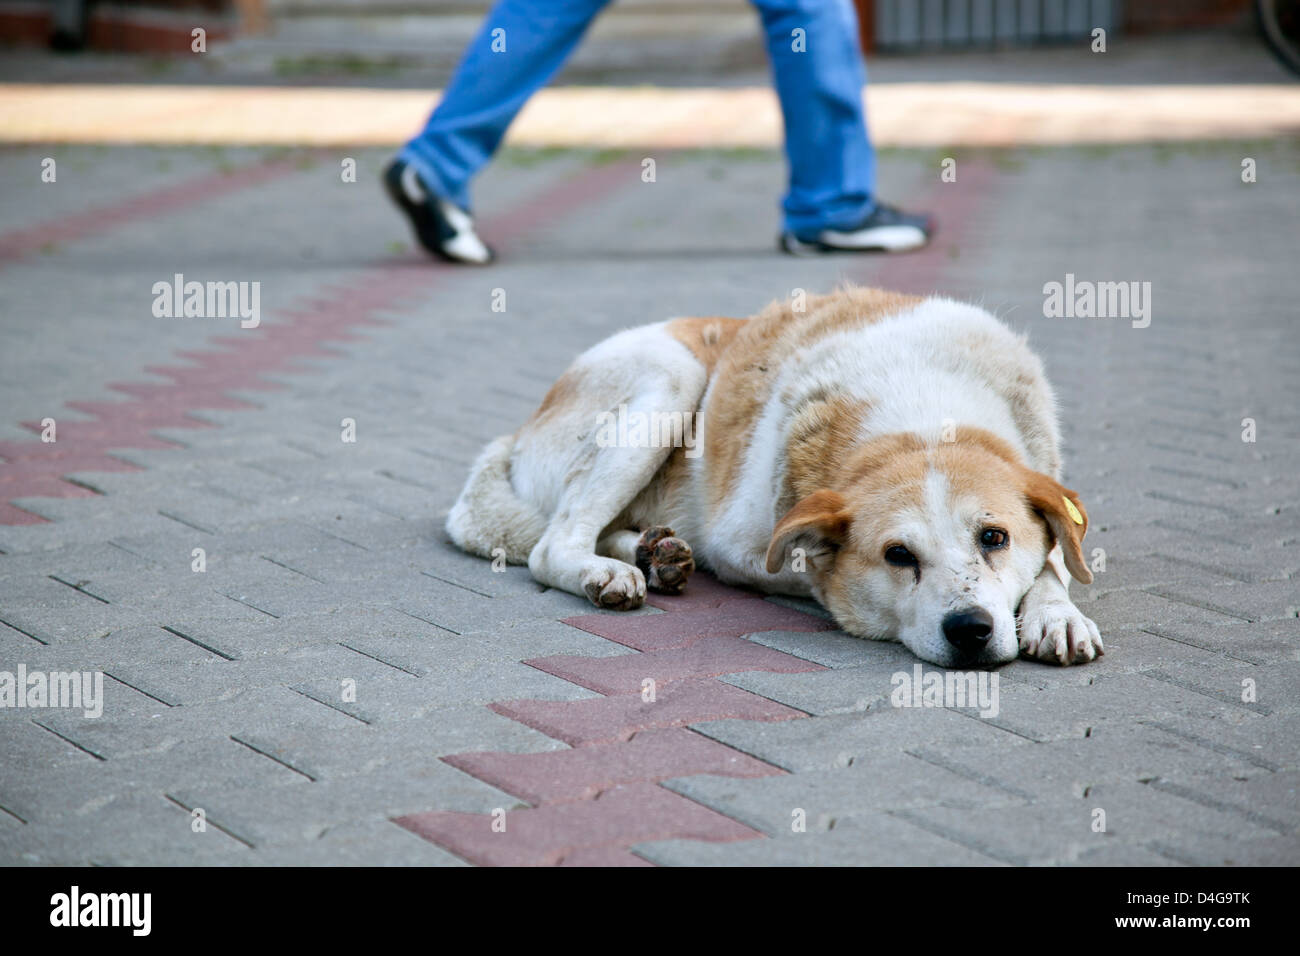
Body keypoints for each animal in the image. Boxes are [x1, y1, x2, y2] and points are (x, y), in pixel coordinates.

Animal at [444, 287, 1097, 671]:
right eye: (898, 555)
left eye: (994, 538)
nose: (970, 630)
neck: (921, 419)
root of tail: (519, 431)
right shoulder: (738, 547)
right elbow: (810, 572)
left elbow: (1053, 560)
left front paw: (1055, 614)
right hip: (668, 378)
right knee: (553, 541)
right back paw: (607, 571)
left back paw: (655, 552)